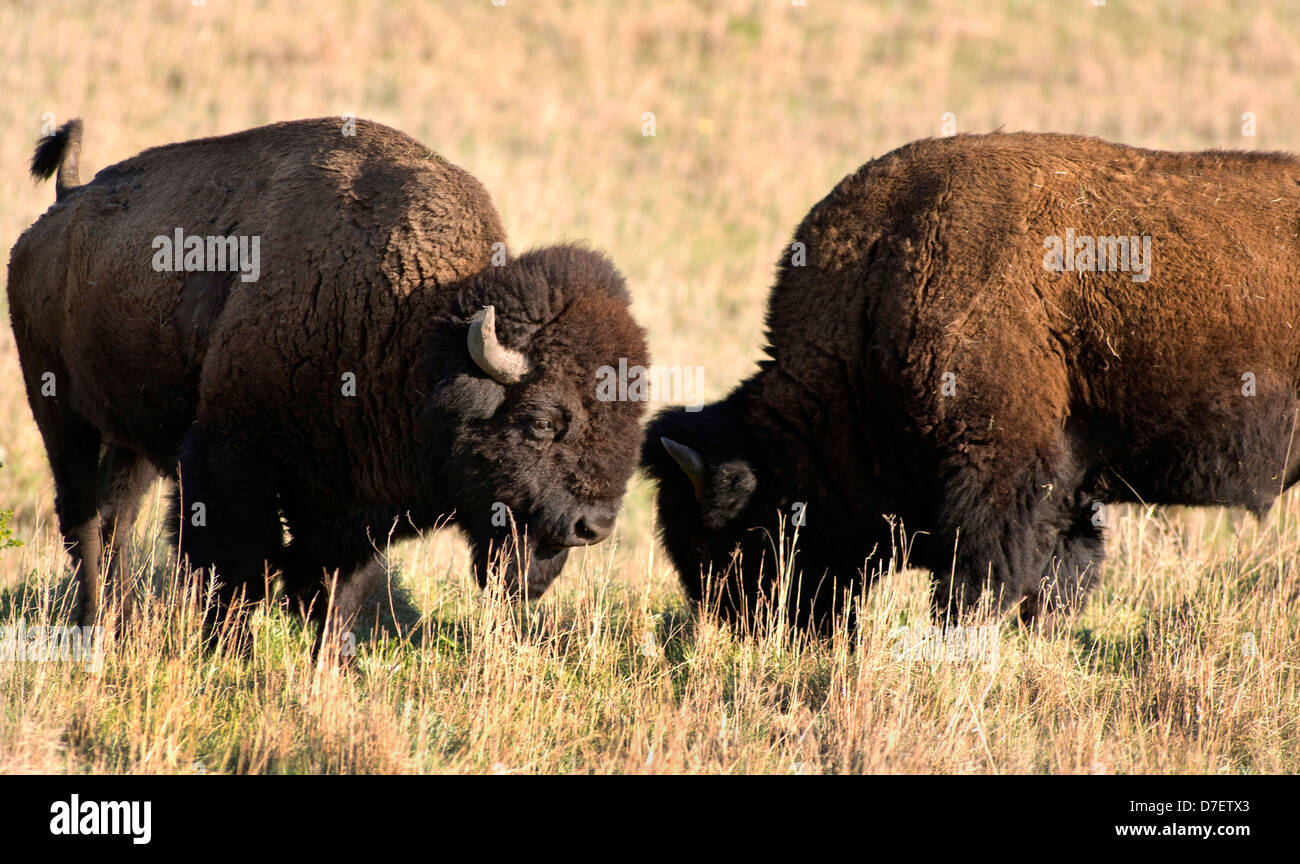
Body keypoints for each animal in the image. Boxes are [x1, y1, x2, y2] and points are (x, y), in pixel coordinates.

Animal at [9, 117, 649, 649]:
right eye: (541, 421)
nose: (592, 526)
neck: (418, 334)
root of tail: (67, 202)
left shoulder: (354, 503)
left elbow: (339, 587)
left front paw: (331, 662)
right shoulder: (231, 458)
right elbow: (240, 568)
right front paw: (230, 653)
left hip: (130, 437)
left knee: (116, 518)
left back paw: (117, 625)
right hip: (58, 411)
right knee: (82, 519)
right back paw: (92, 627)